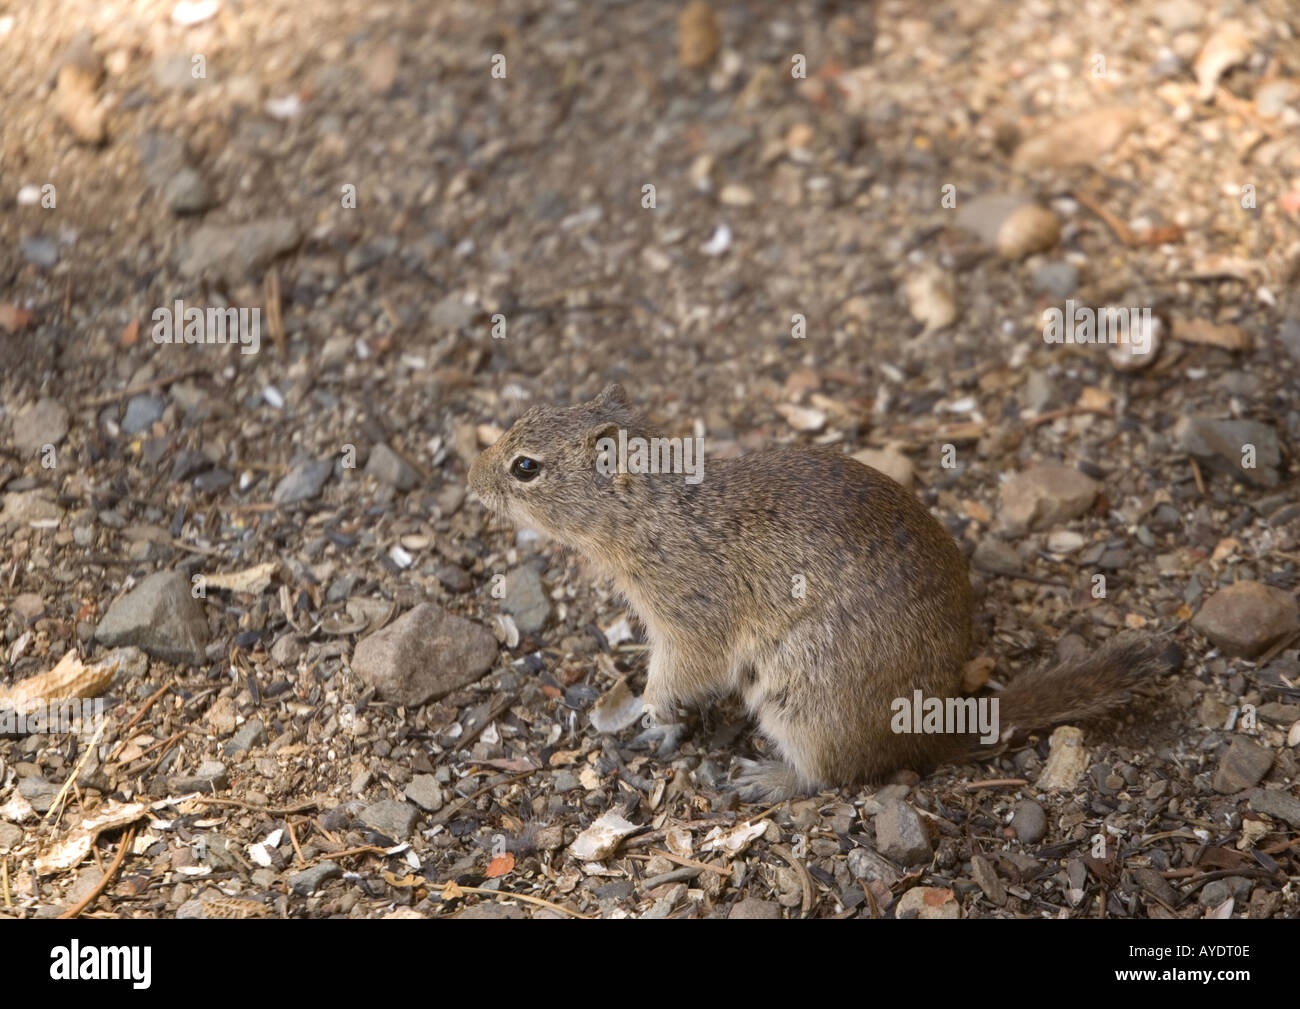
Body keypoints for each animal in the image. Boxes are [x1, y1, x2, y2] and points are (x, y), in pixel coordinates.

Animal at [468, 383, 1181, 801]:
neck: (653, 510)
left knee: (828, 776)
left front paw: (653, 716)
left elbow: (677, 678)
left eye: (525, 467)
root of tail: (930, 732)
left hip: (801, 701)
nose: (471, 479)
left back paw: (766, 778)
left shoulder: (692, 622)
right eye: (524, 419)